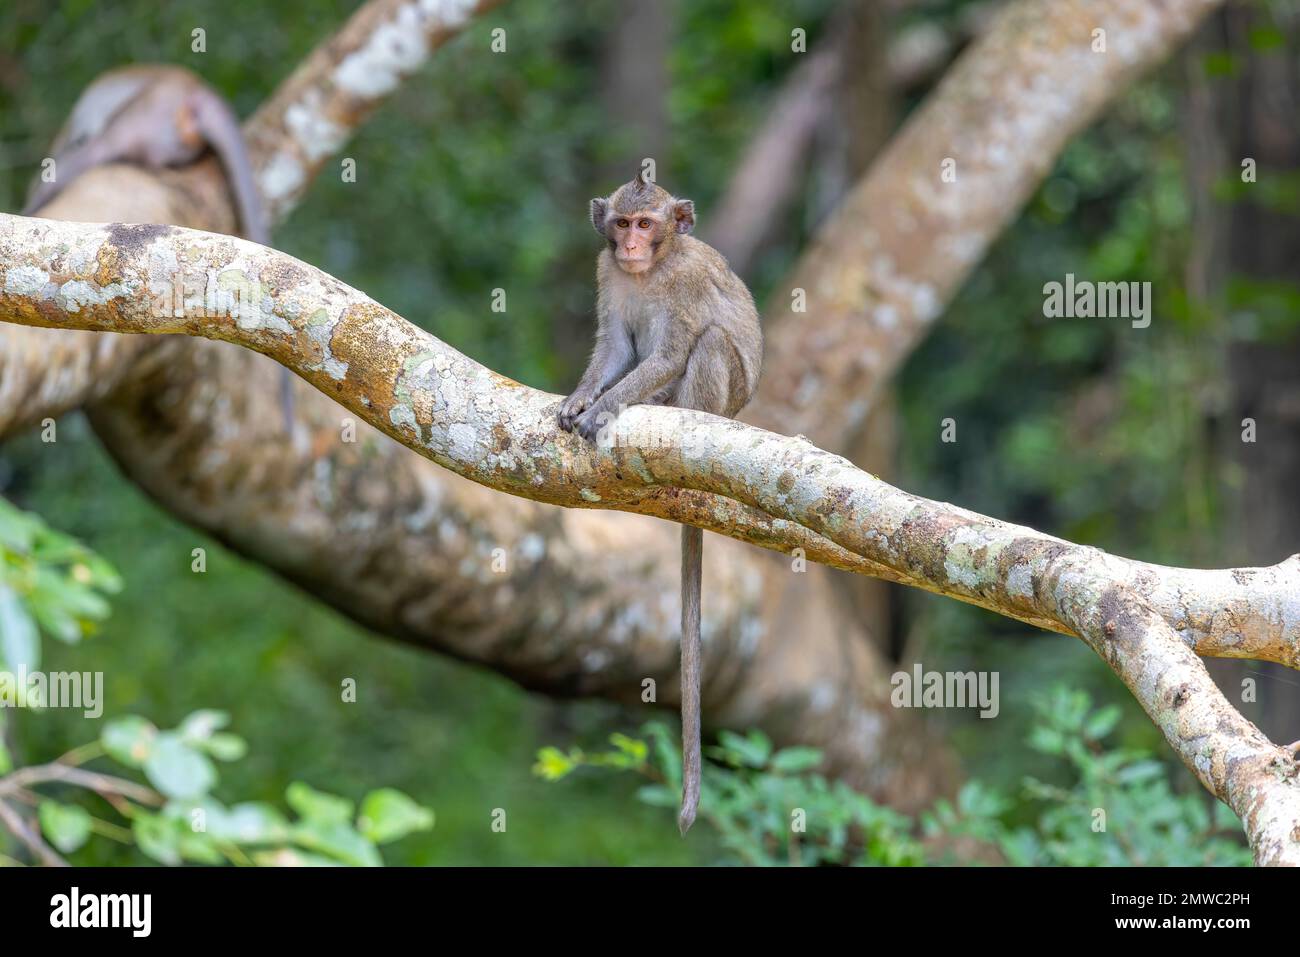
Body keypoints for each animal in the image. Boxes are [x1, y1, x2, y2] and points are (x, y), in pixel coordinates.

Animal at [559, 173, 763, 834]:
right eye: (622, 225)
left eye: (647, 225)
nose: (630, 246)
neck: (653, 270)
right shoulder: (607, 274)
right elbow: (614, 348)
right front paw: (580, 398)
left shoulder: (685, 283)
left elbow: (670, 353)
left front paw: (601, 408)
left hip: (720, 402)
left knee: (709, 345)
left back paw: (671, 411)